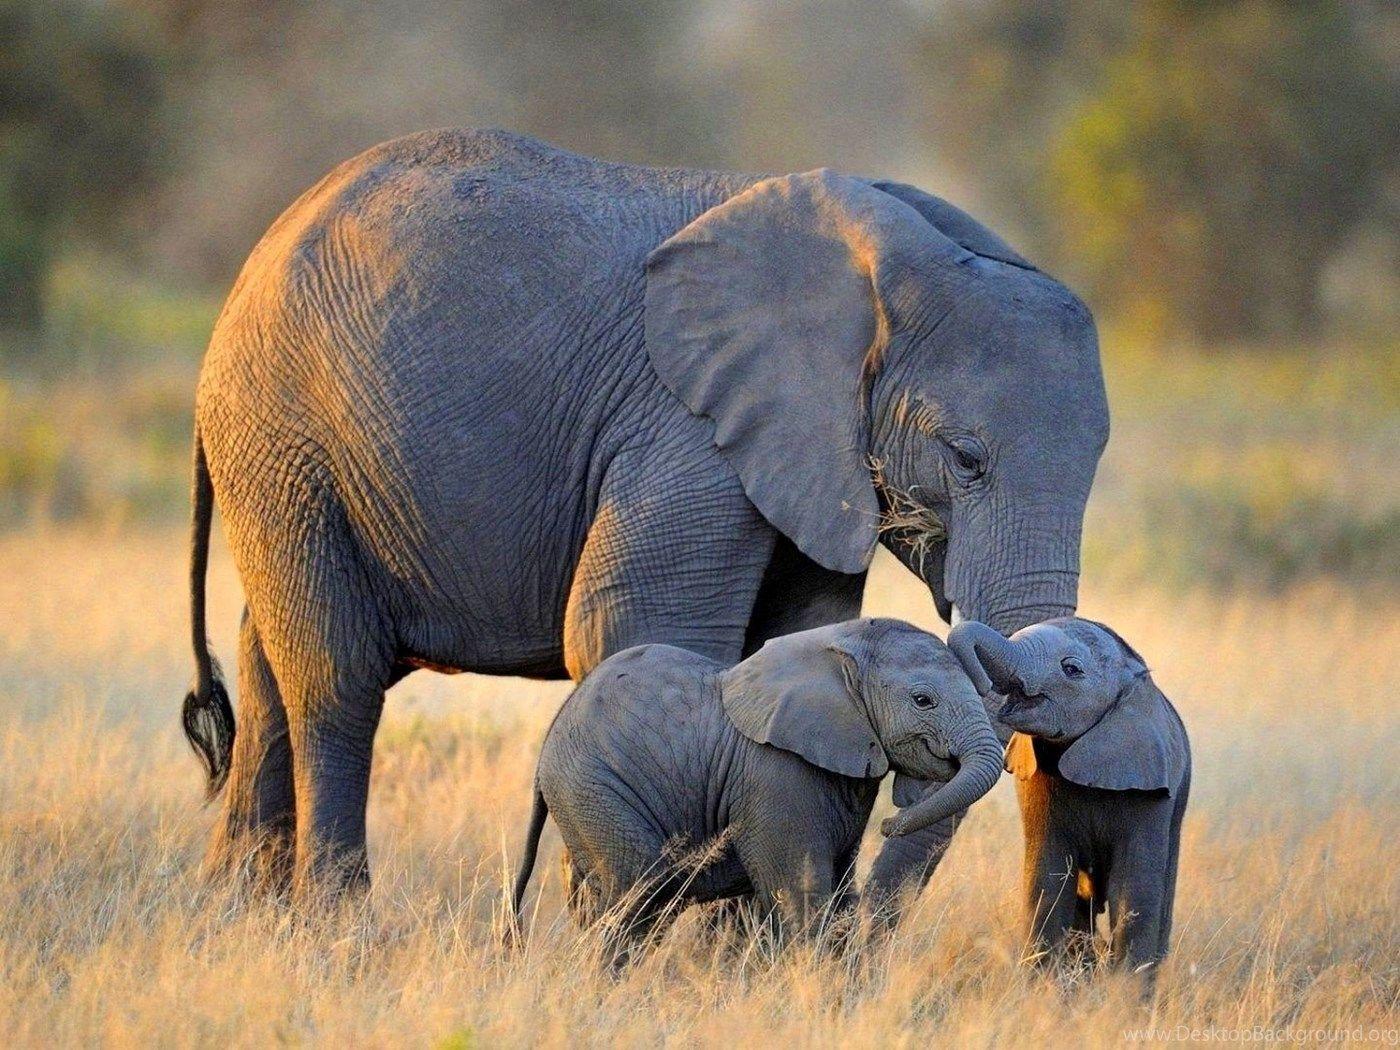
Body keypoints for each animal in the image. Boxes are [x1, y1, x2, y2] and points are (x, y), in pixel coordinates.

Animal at [179, 127, 1109, 899]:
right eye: (966, 459)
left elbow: (792, 638)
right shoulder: (684, 429)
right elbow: (635, 627)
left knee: (268, 666)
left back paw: (239, 916)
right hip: (284, 437)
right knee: (335, 679)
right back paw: (335, 923)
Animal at [508, 618, 1004, 964]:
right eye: (923, 701)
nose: (889, 823)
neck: (842, 645)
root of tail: (550, 738)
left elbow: (841, 893)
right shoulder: (777, 776)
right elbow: (802, 893)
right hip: (595, 788)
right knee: (639, 894)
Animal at [947, 618, 1191, 973]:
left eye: (1071, 669)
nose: (979, 684)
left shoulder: (1151, 787)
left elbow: (1134, 889)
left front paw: (1125, 989)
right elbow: (1047, 878)